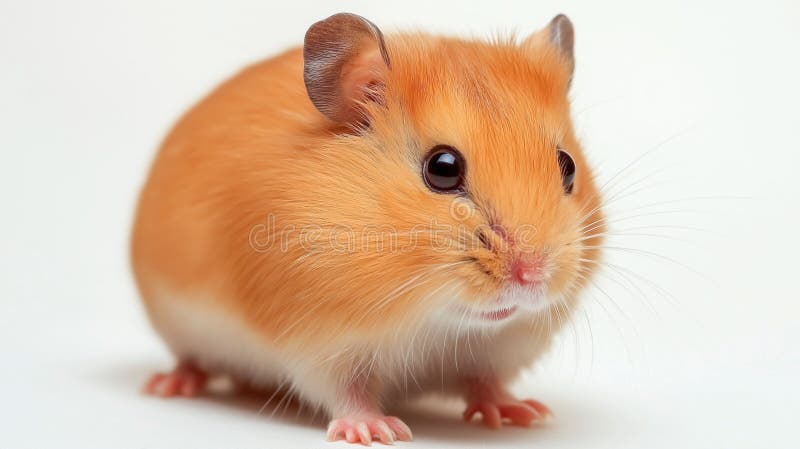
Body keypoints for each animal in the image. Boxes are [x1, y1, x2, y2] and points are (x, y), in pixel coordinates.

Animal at [131, 12, 604, 445]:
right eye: (443, 168)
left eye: (567, 166)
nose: (532, 278)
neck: (433, 319)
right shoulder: (319, 346)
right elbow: (348, 393)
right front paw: (379, 431)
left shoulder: (494, 349)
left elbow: (485, 381)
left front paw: (524, 413)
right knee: (190, 359)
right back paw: (167, 386)